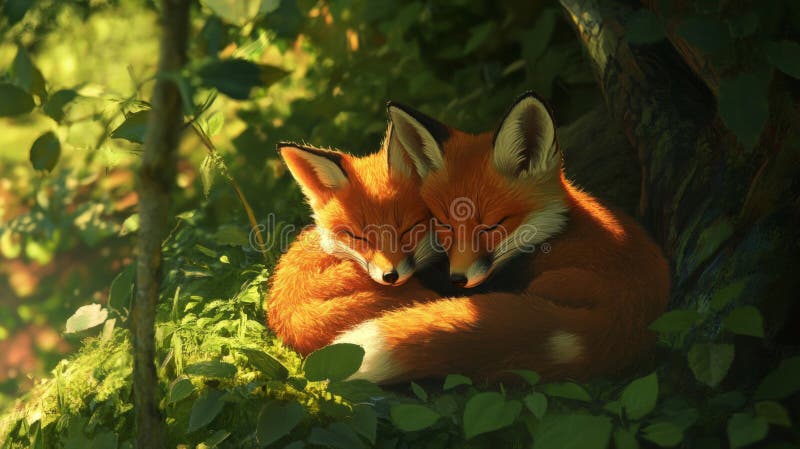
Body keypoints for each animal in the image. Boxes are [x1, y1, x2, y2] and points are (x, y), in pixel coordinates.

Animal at [333, 93, 670, 384]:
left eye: (492, 227)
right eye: (444, 224)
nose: (457, 279)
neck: (557, 227)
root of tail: (625, 321)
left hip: (552, 283)